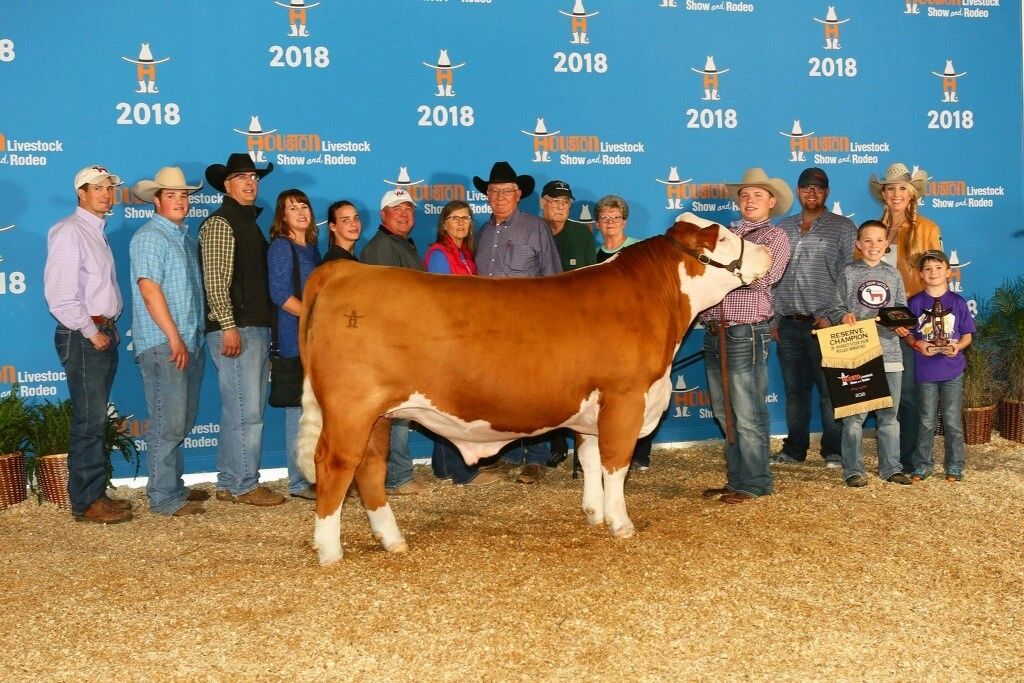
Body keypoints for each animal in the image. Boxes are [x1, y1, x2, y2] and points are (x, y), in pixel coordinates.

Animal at [296, 214, 771, 565]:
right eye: (725, 237)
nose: (767, 252)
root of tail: (346, 269)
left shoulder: (591, 407)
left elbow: (590, 457)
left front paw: (594, 514)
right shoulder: (626, 396)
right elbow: (616, 462)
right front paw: (621, 524)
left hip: (379, 415)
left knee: (369, 469)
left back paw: (392, 540)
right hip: (351, 408)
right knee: (334, 465)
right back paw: (330, 551)